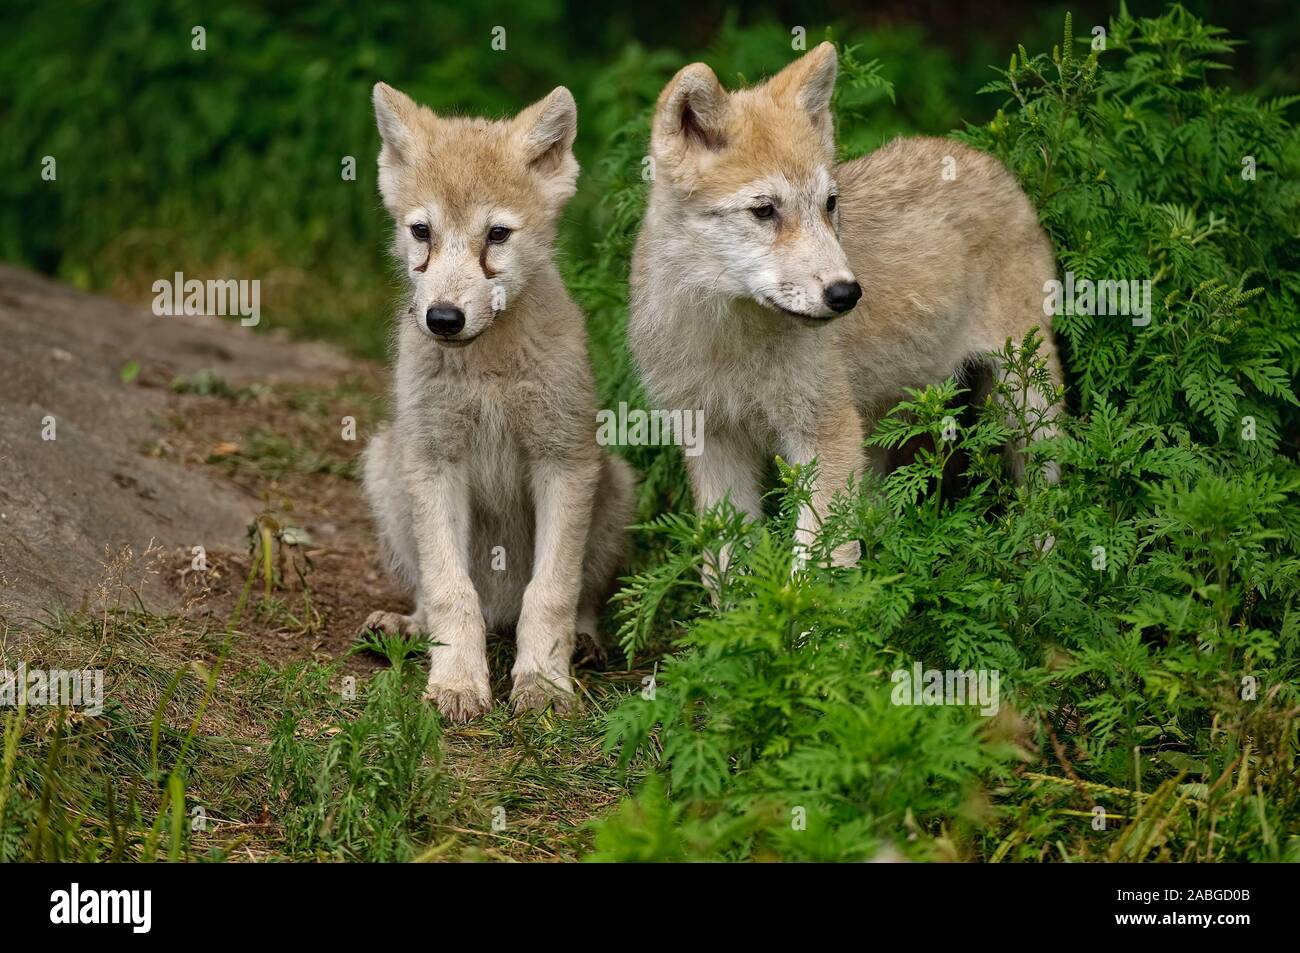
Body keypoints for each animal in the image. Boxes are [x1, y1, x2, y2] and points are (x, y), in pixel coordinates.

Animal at [361, 82, 635, 722]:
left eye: (497, 236)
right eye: (421, 232)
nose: (443, 319)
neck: (486, 369)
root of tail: (500, 617)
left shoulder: (563, 461)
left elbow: (551, 592)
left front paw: (544, 684)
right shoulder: (434, 461)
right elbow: (450, 591)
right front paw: (458, 684)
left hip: (616, 482)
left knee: (581, 598)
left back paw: (583, 643)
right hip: (385, 467)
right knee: (435, 597)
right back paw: (407, 627)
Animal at [628, 41, 1062, 568]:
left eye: (830, 204)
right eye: (764, 210)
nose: (846, 293)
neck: (727, 341)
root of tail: (987, 159)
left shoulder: (825, 436)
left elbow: (817, 572)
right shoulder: (712, 443)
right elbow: (730, 575)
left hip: (1027, 408)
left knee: (1048, 502)